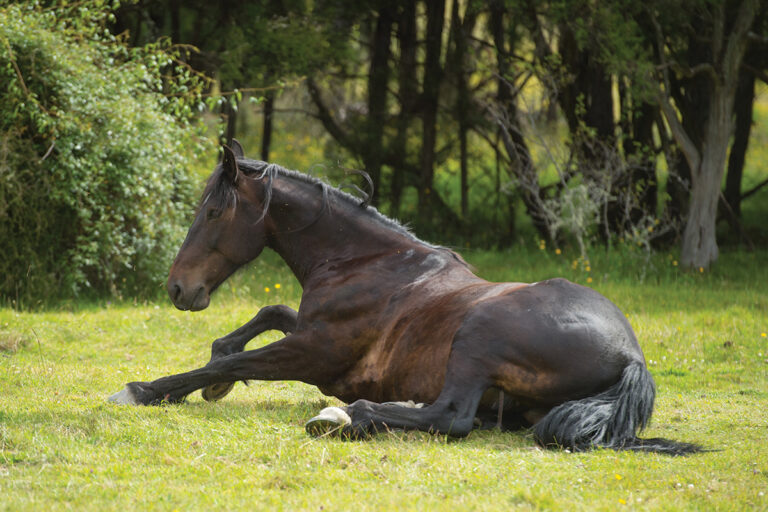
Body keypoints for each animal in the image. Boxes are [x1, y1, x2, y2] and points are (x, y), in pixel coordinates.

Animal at [109, 141, 701, 455]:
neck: (367, 260)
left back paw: (346, 417)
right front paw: (218, 367)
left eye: (212, 212)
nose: (178, 288)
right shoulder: (309, 330)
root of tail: (631, 356)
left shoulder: (315, 353)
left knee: (452, 417)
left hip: (478, 335)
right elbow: (266, 316)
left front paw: (144, 390)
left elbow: (222, 363)